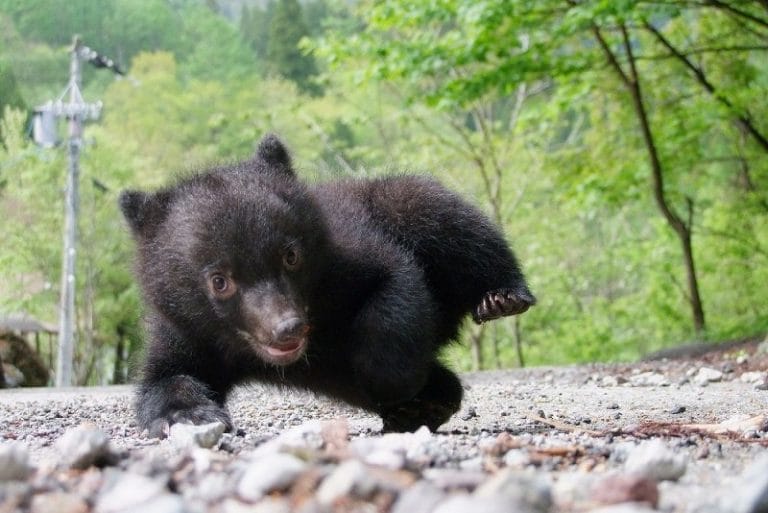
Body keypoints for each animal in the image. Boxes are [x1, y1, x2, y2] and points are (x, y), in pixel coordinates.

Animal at [119, 134, 535, 438]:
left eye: (291, 256)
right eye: (219, 281)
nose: (287, 328)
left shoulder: (344, 253)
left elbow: (393, 280)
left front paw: (388, 379)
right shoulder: (188, 331)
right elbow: (166, 377)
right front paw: (190, 417)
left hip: (397, 203)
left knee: (442, 214)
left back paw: (500, 299)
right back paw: (430, 401)